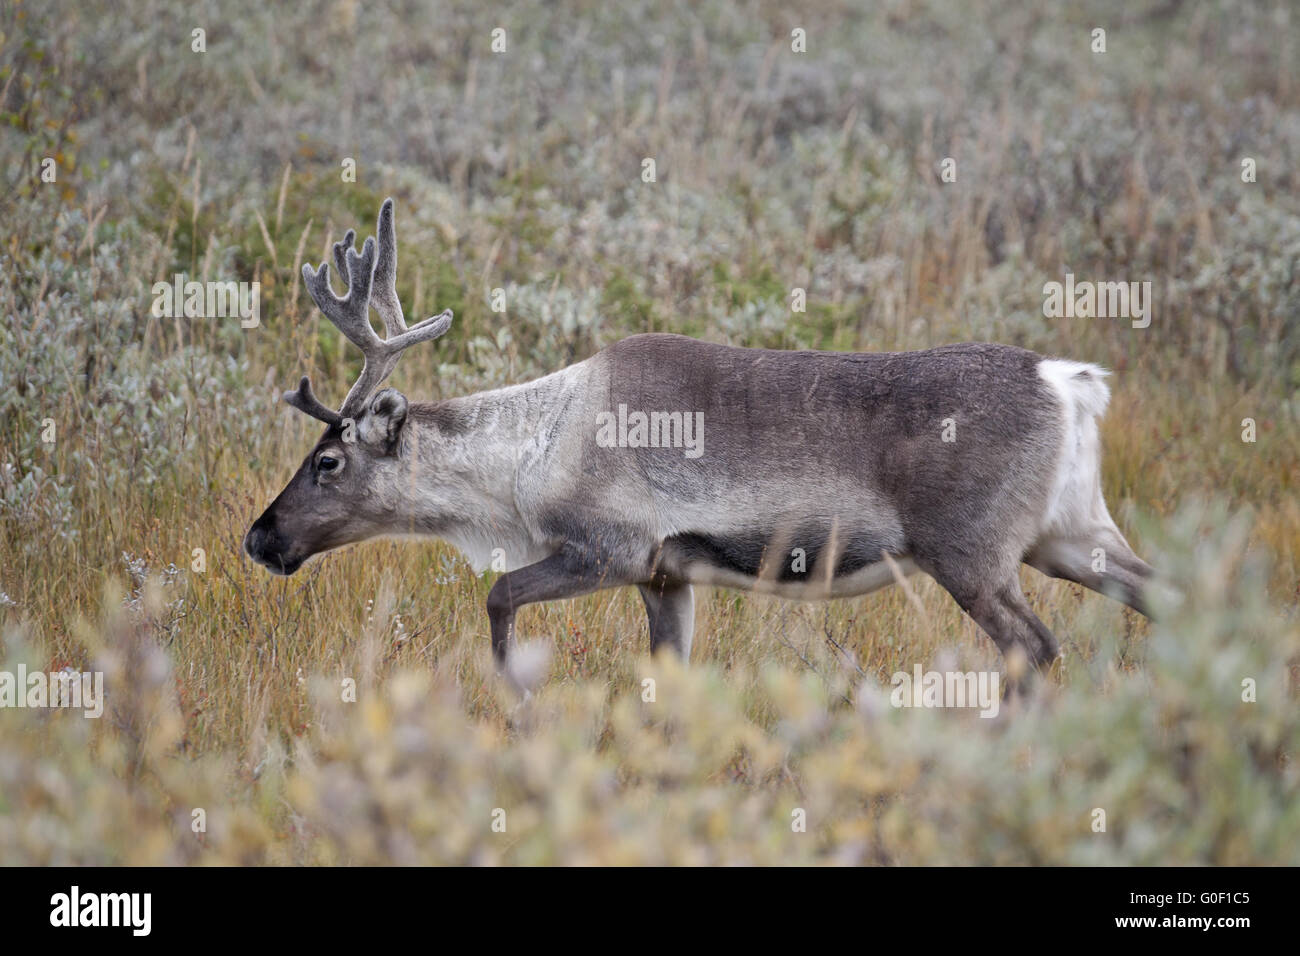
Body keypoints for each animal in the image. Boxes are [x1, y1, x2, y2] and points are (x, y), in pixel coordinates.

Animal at [244, 198, 1156, 696]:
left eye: (328, 462)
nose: (259, 538)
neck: (531, 458)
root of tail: (1070, 381)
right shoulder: (667, 577)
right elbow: (667, 677)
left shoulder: (610, 549)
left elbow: (498, 595)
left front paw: (517, 705)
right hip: (1072, 535)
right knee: (1161, 594)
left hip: (972, 554)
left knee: (1036, 648)